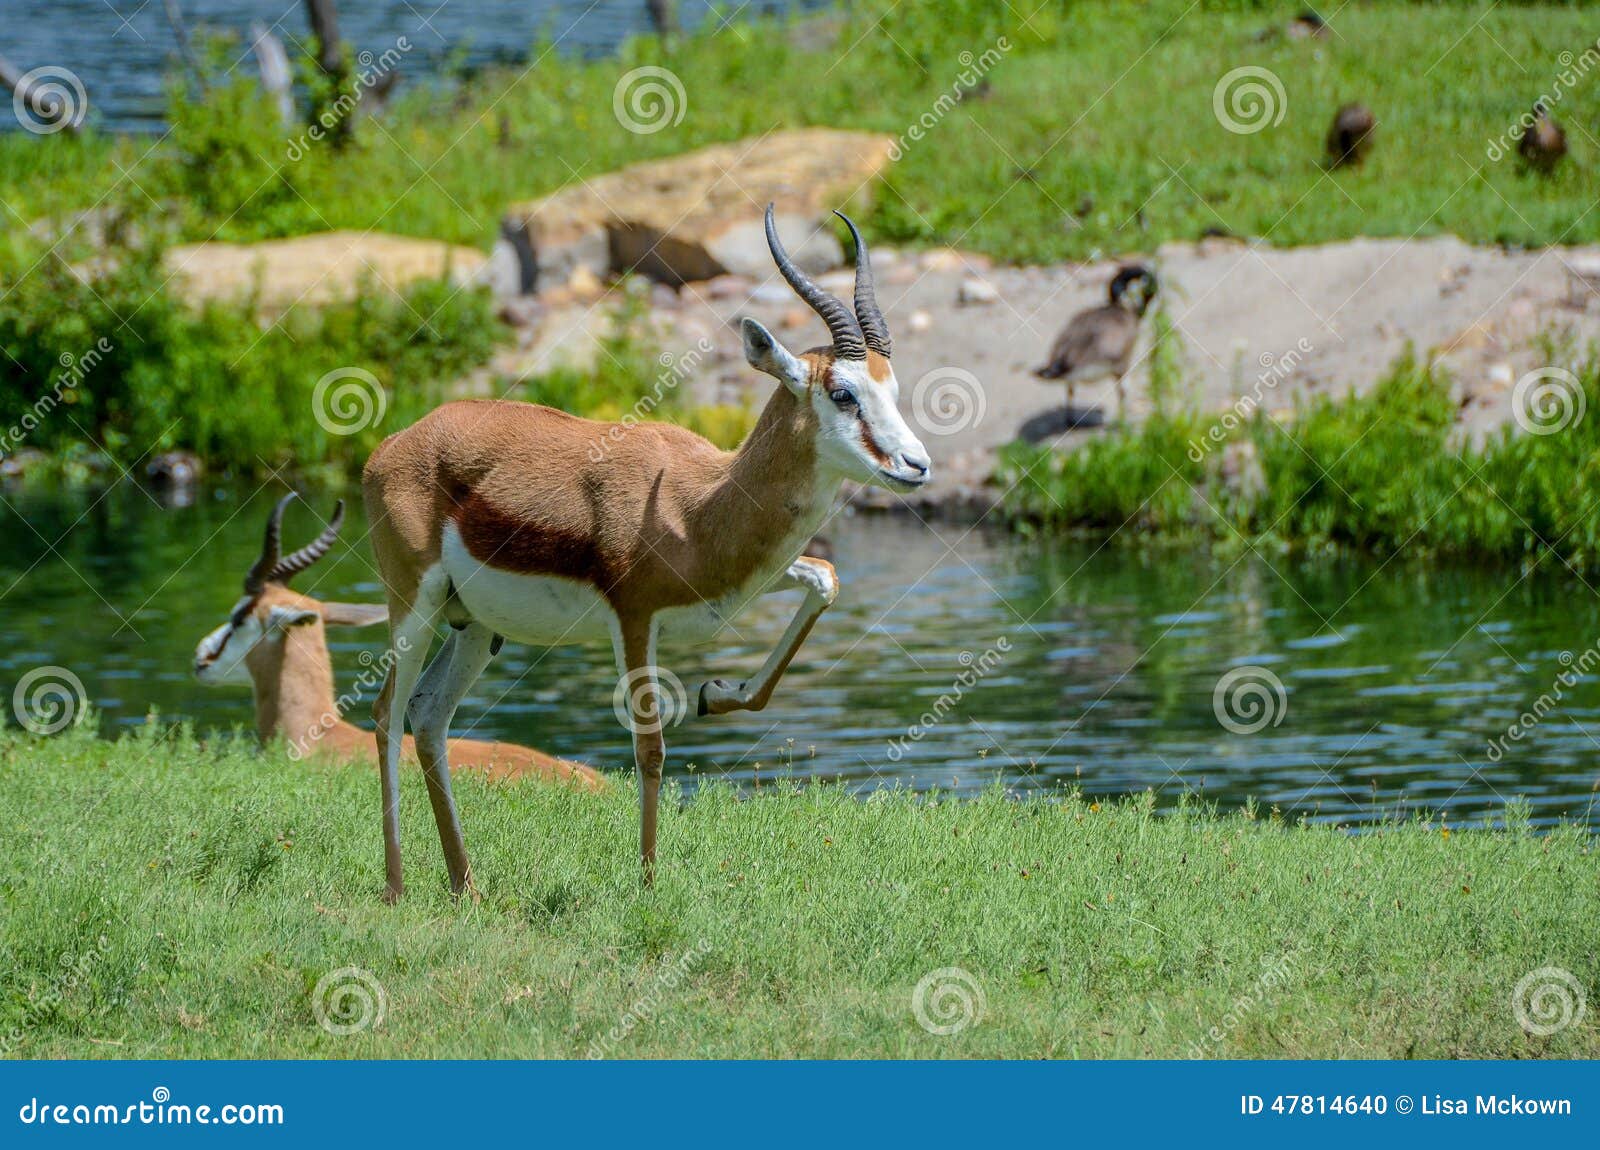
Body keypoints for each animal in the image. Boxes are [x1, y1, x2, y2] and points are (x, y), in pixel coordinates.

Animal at [362, 204, 930, 900]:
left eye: (892, 388)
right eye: (844, 394)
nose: (916, 466)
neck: (697, 502)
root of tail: (391, 446)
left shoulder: (742, 584)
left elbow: (824, 578)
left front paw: (718, 692)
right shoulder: (634, 620)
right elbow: (650, 748)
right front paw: (650, 886)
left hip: (473, 627)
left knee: (427, 716)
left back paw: (464, 884)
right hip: (413, 605)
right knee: (386, 714)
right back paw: (396, 887)